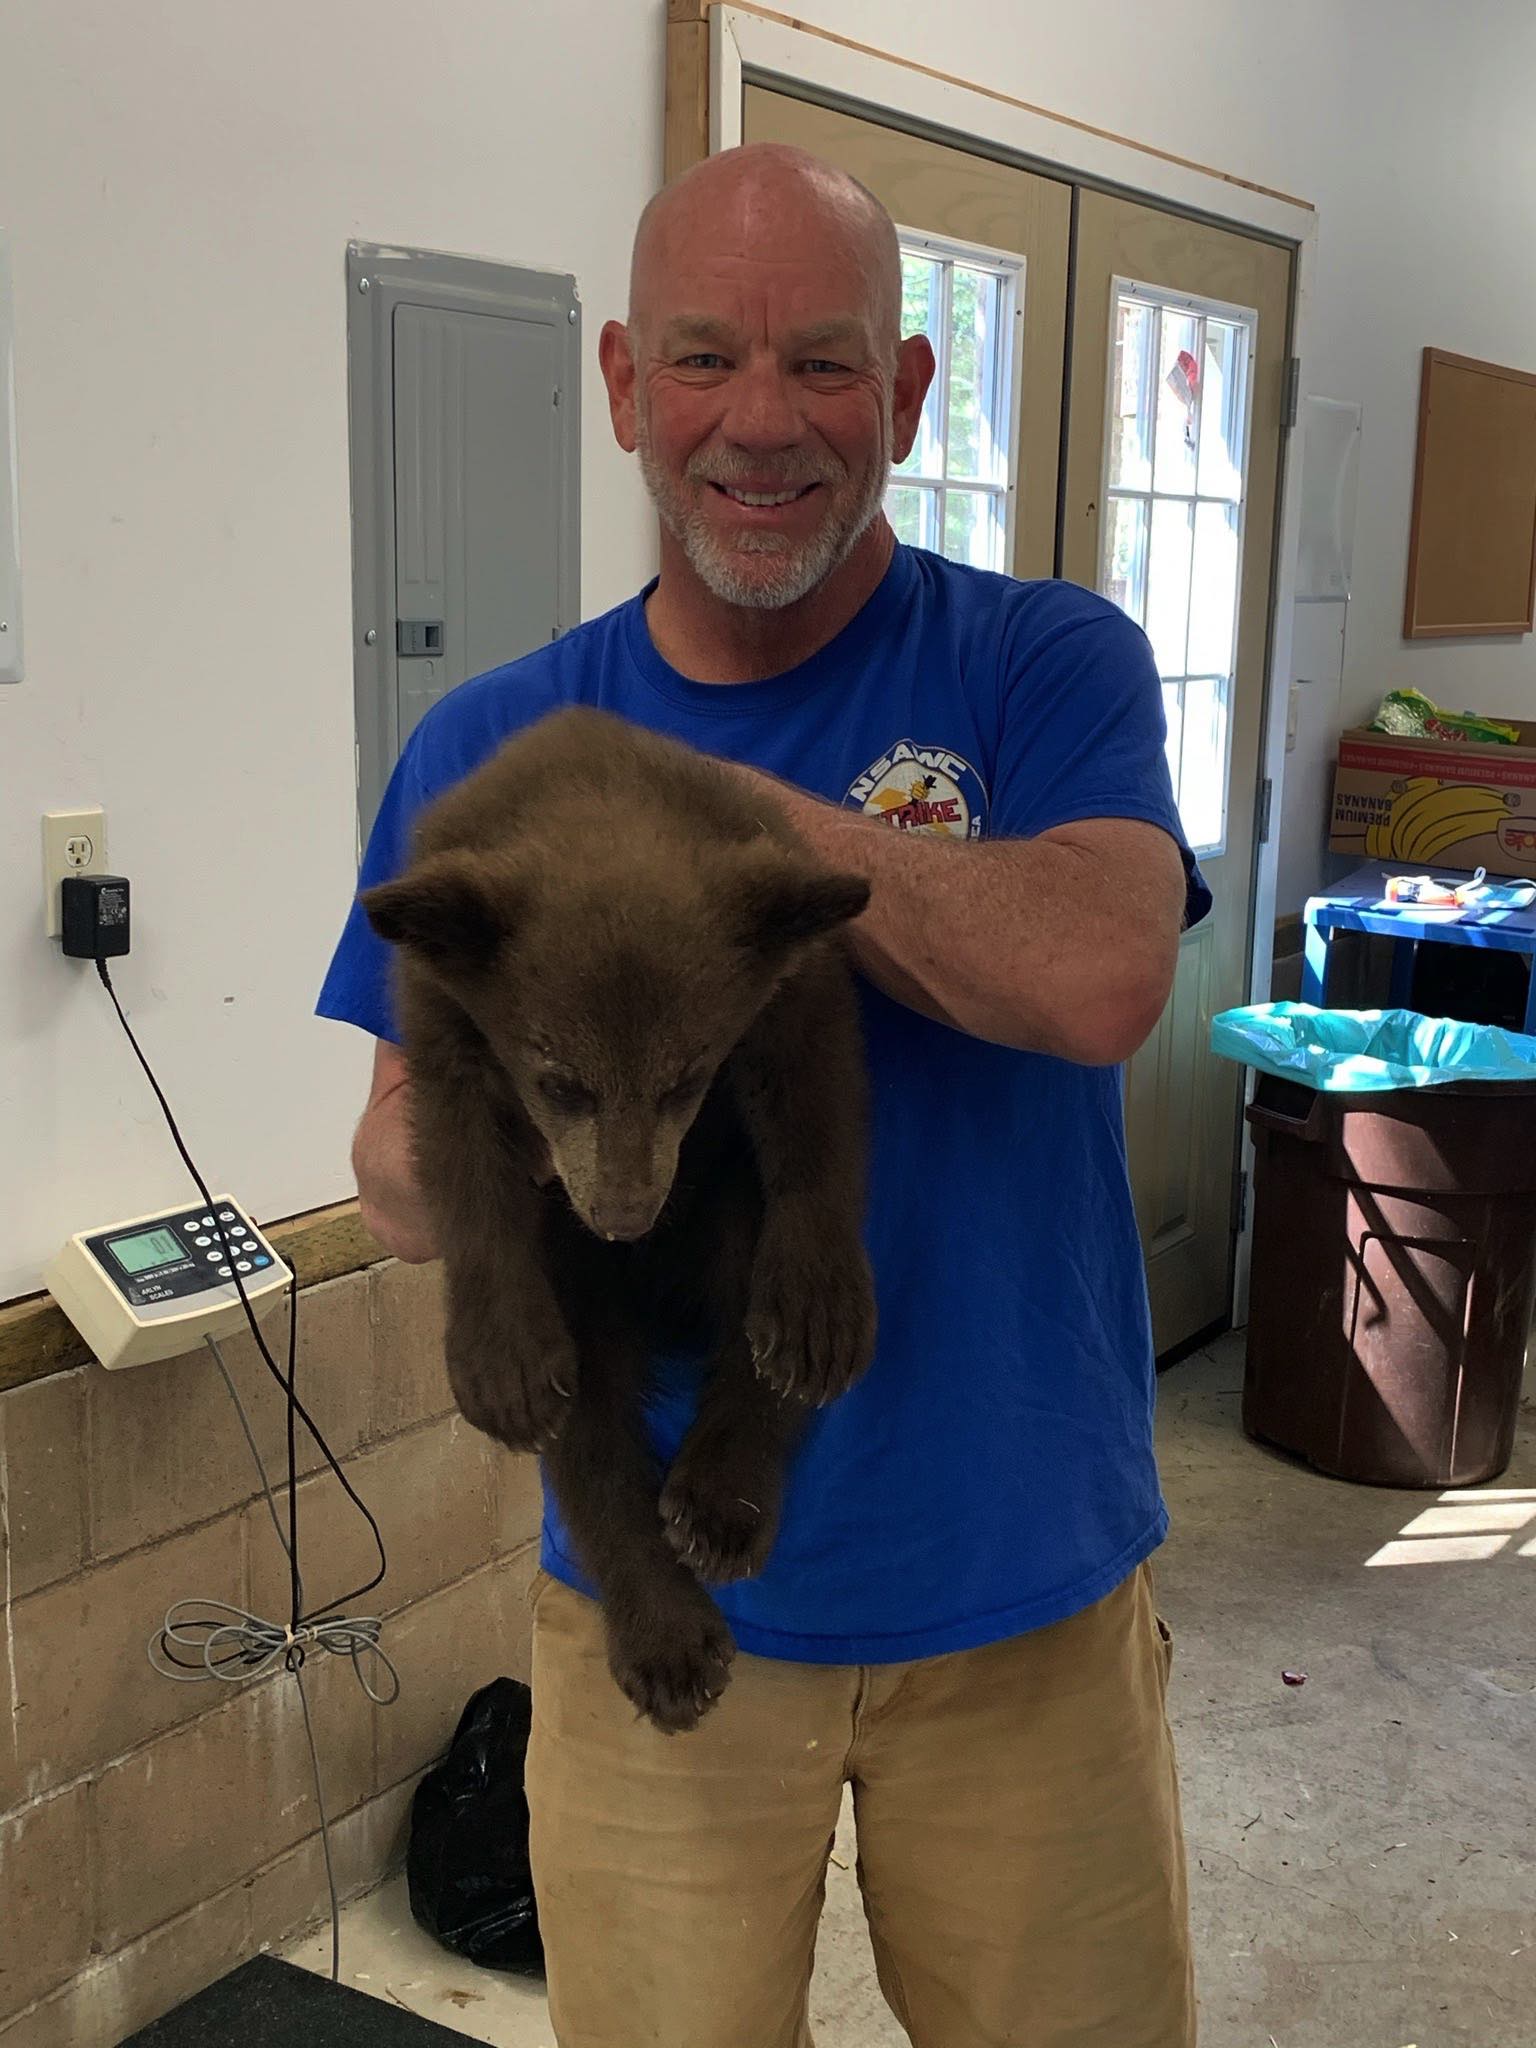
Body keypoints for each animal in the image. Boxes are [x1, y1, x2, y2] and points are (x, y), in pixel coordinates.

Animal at [361, 705, 877, 1732]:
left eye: (687, 1078)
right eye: (562, 1082)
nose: (627, 1217)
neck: (597, 790)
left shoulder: (794, 977)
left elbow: (813, 1103)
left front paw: (817, 1307)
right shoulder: (440, 1014)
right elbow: (462, 1162)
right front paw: (500, 1359)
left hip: (725, 1212)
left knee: (743, 1309)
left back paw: (722, 1494)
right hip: (578, 1287)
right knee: (591, 1422)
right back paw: (665, 1636)